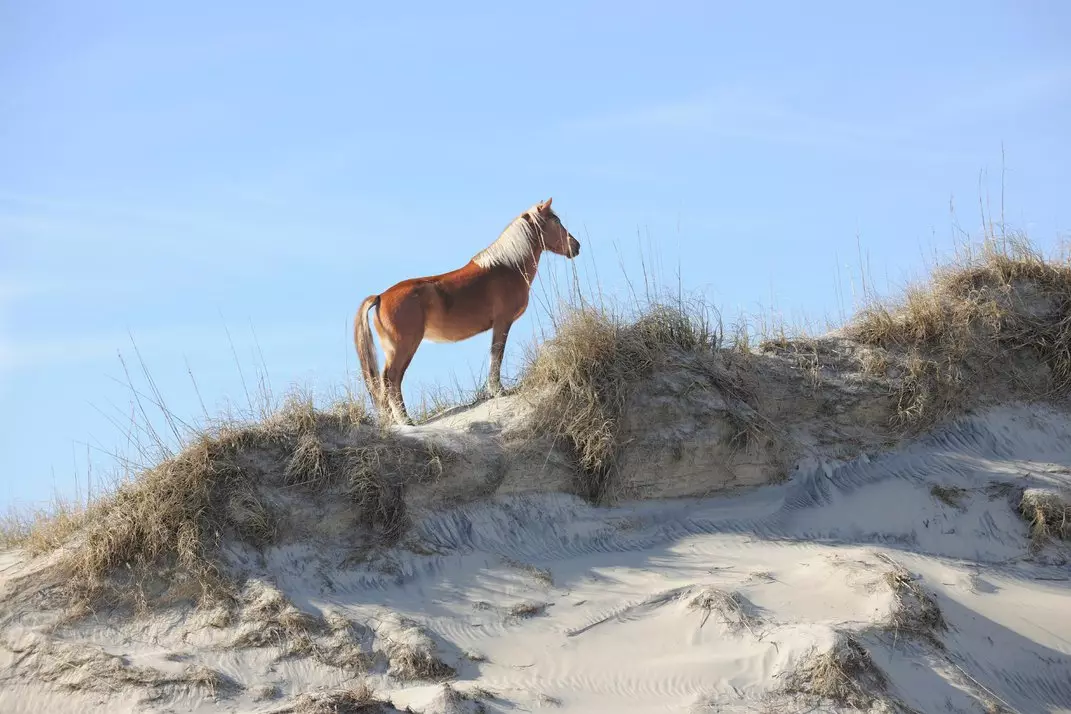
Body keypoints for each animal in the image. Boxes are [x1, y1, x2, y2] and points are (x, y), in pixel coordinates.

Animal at [355, 196, 582, 423]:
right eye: (555, 221)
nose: (576, 245)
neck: (507, 267)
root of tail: (381, 296)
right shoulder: (502, 322)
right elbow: (496, 355)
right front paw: (498, 390)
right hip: (403, 347)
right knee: (391, 379)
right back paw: (405, 420)